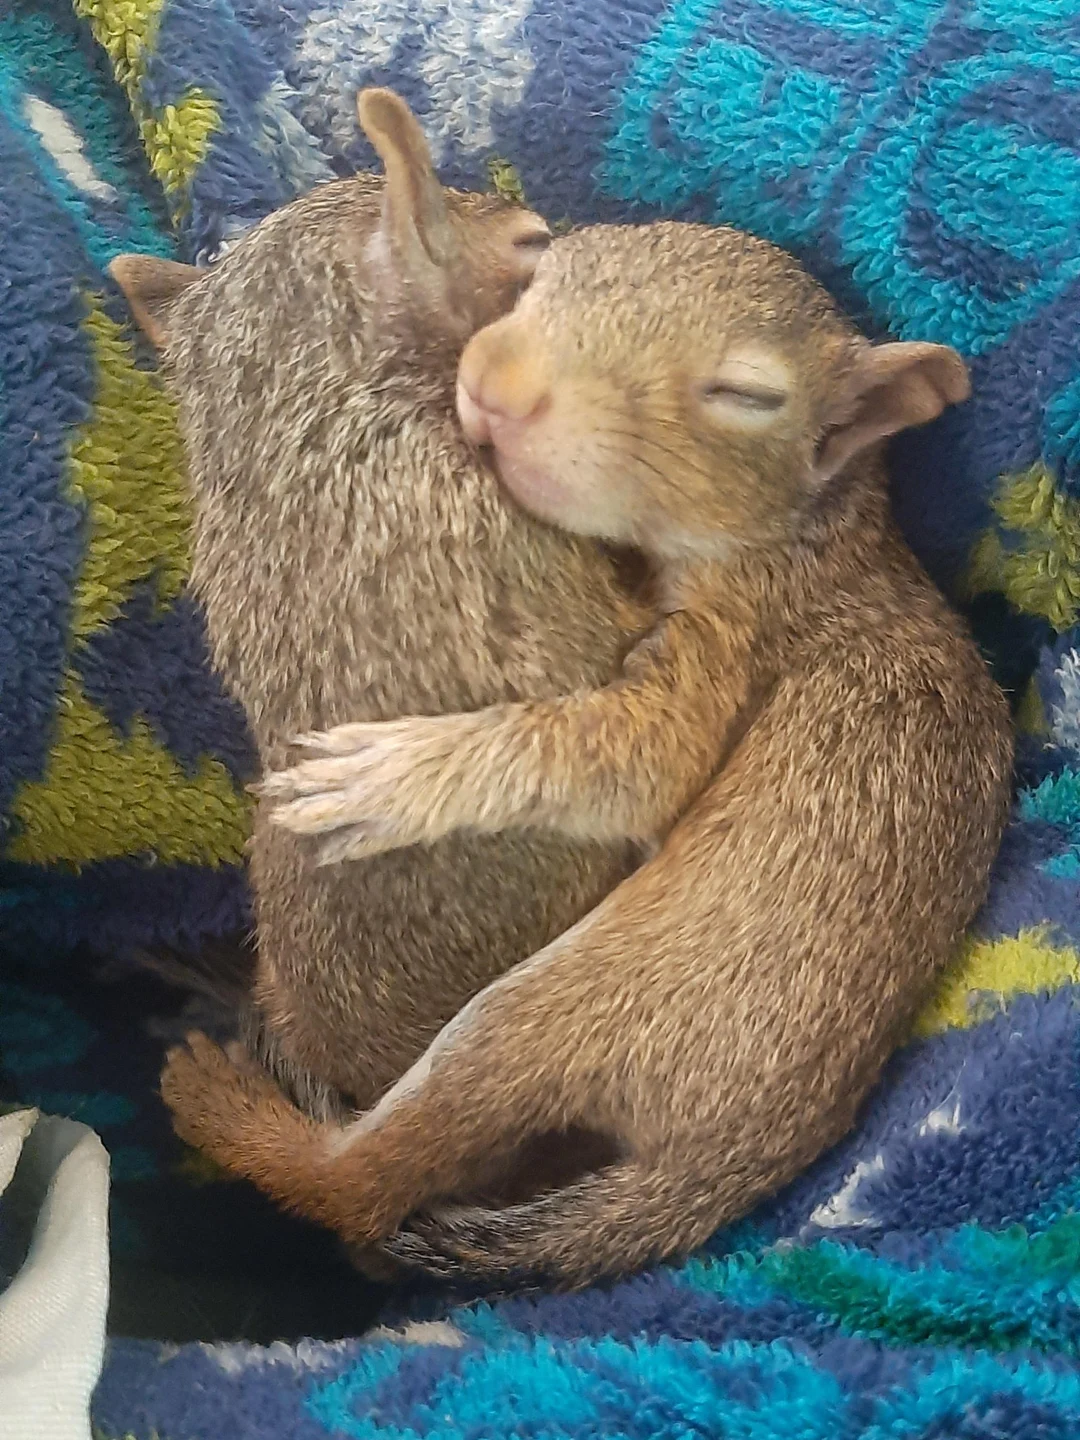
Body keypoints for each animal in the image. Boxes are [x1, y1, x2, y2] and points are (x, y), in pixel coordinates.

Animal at [158, 218, 1014, 1290]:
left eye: (748, 396)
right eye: (545, 272)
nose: (496, 382)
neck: (818, 536)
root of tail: (720, 1169)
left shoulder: (736, 647)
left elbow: (621, 759)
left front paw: (395, 775)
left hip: (549, 1016)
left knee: (365, 1182)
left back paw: (228, 1107)